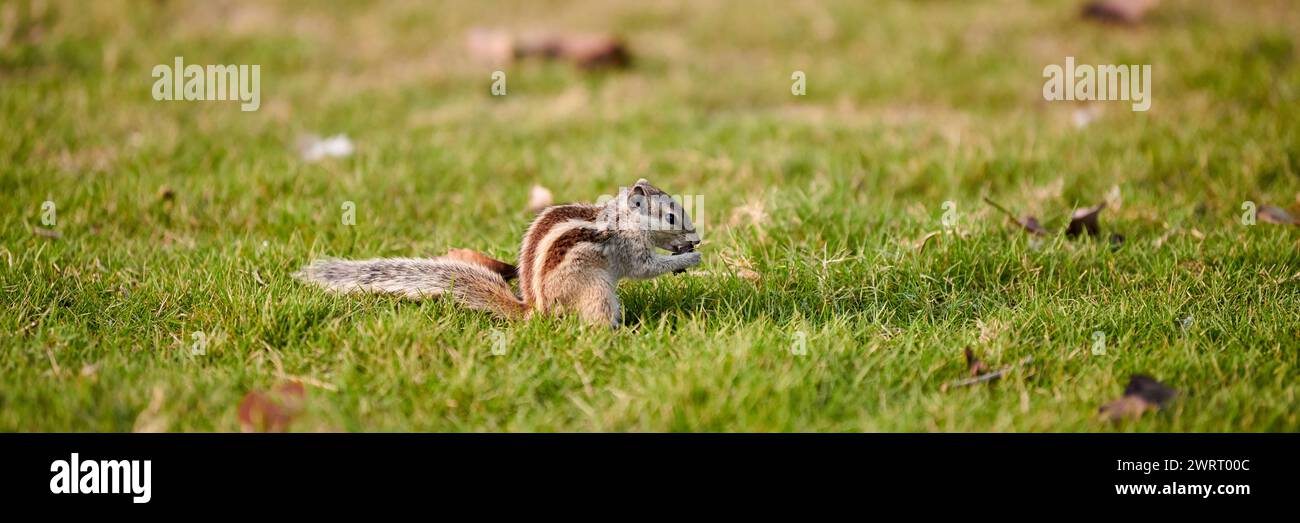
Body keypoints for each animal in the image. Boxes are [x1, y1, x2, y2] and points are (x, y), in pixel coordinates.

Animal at [295, 179, 702, 328]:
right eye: (670, 217)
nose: (695, 236)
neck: (620, 218)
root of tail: (535, 310)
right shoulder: (629, 248)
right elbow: (645, 268)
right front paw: (688, 258)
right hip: (594, 289)